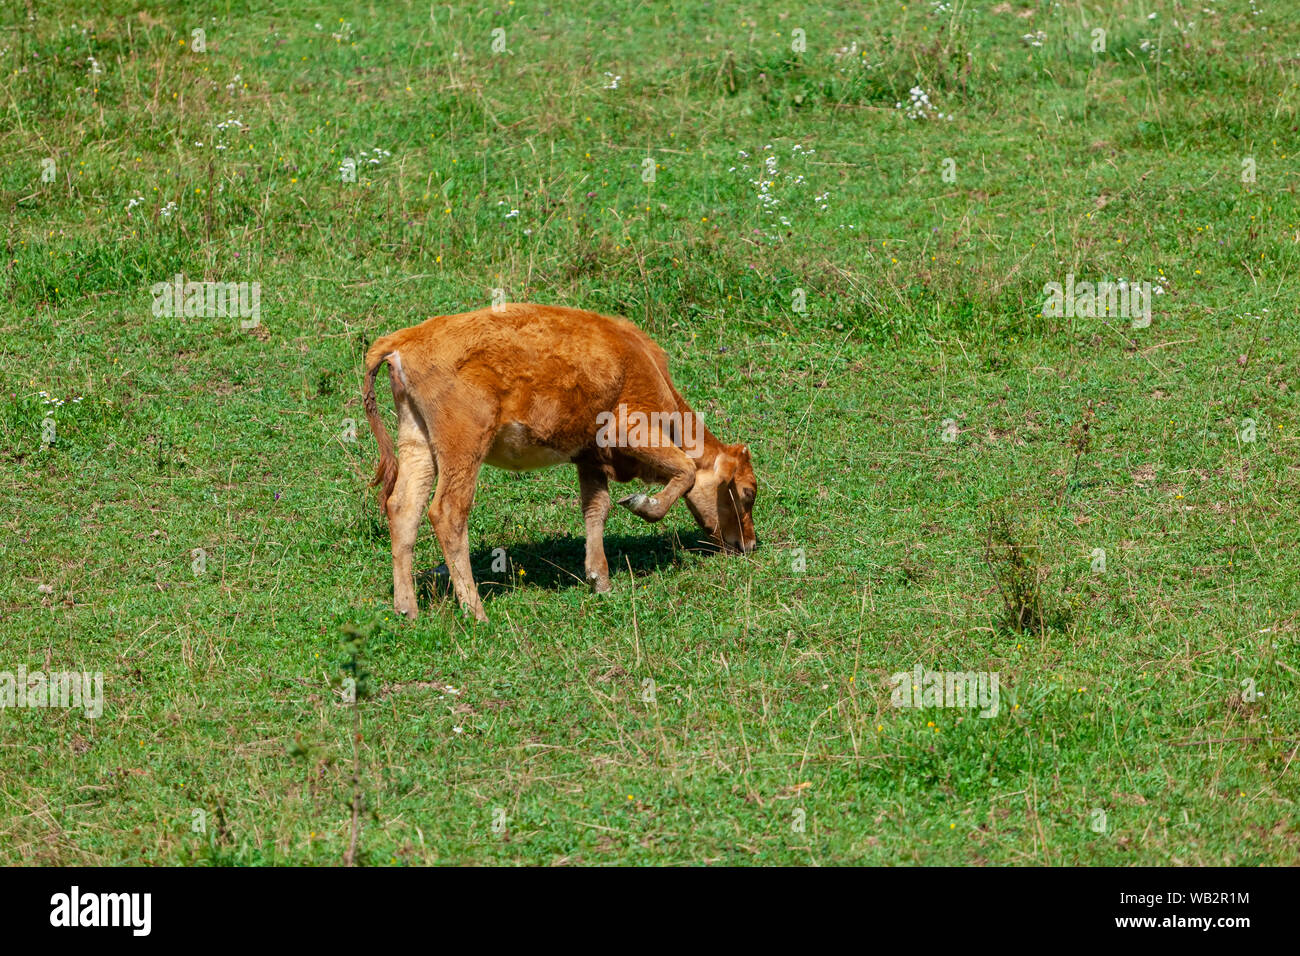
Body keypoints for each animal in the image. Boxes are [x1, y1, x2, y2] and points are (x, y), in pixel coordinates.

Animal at [361, 303, 758, 623]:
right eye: (746, 492)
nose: (749, 544)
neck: (637, 362)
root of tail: (405, 339)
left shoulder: (589, 457)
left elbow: (596, 508)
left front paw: (600, 580)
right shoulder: (628, 430)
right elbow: (686, 471)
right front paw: (642, 505)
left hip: (418, 442)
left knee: (404, 508)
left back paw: (407, 610)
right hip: (463, 448)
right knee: (448, 512)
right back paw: (476, 611)